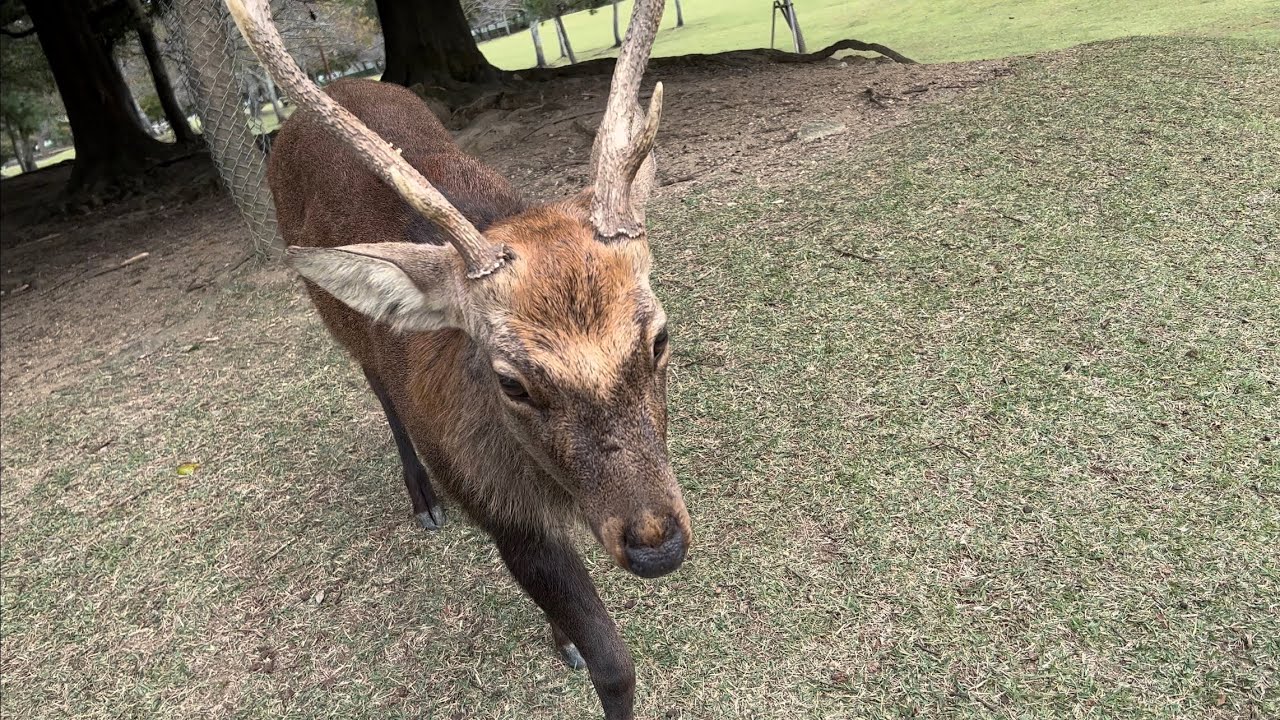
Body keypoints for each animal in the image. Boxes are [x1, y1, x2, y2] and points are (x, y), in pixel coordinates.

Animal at [225, 0, 688, 717]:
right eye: (511, 382)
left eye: (658, 336)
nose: (656, 544)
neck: (548, 489)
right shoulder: (493, 504)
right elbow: (615, 664)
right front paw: (584, 646)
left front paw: (564, 638)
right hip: (341, 325)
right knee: (378, 388)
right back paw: (421, 500)